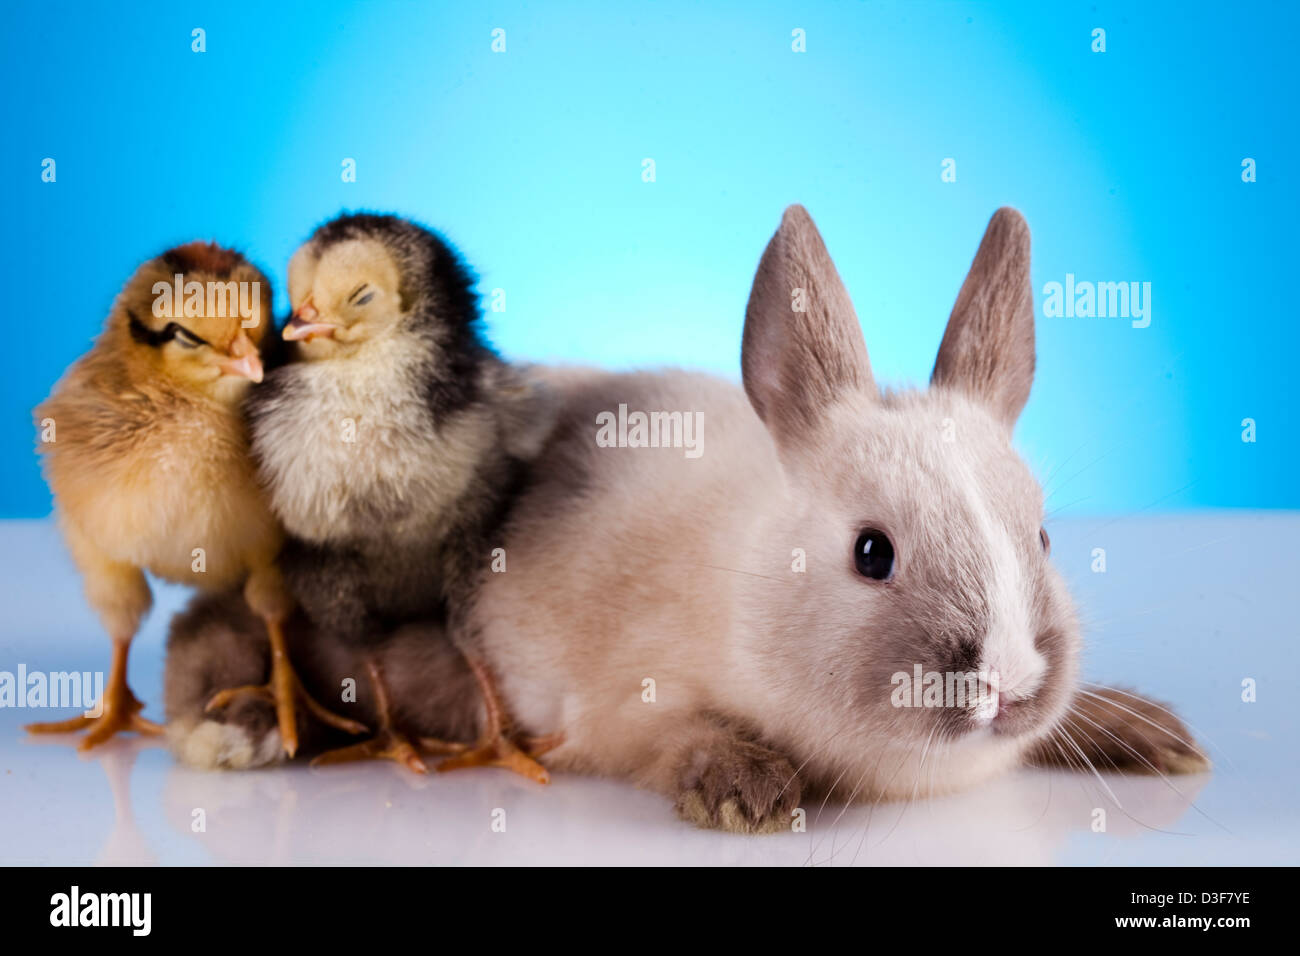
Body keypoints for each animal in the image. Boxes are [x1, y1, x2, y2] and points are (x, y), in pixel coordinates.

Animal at [466, 205, 1209, 832]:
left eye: (1044, 538)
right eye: (872, 553)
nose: (1006, 681)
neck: (743, 584)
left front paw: (1151, 733)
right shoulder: (624, 707)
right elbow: (678, 735)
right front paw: (747, 793)